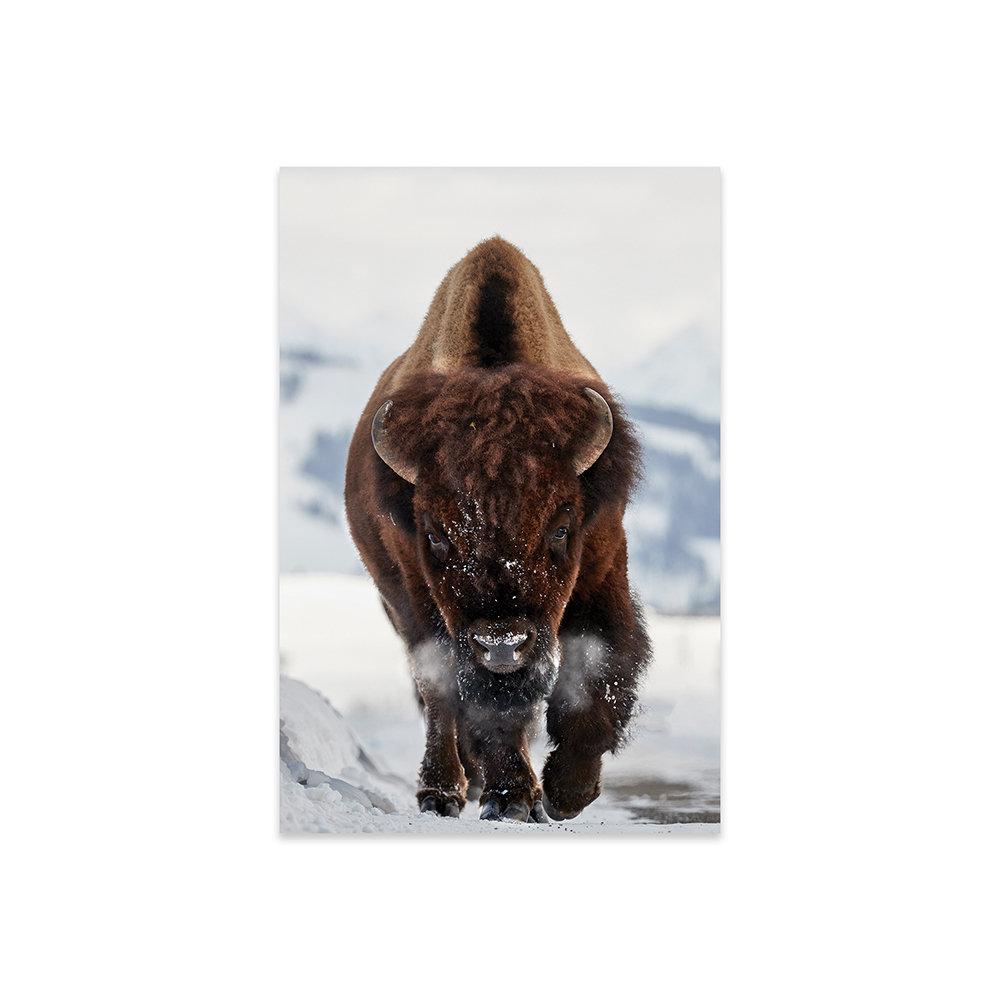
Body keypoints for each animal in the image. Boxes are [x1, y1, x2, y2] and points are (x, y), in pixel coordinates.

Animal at [344, 236, 650, 822]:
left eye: (561, 527)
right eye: (436, 535)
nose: (502, 645)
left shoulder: (602, 568)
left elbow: (599, 670)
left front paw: (567, 793)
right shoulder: (424, 600)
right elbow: (474, 701)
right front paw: (512, 798)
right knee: (439, 695)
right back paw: (444, 791)